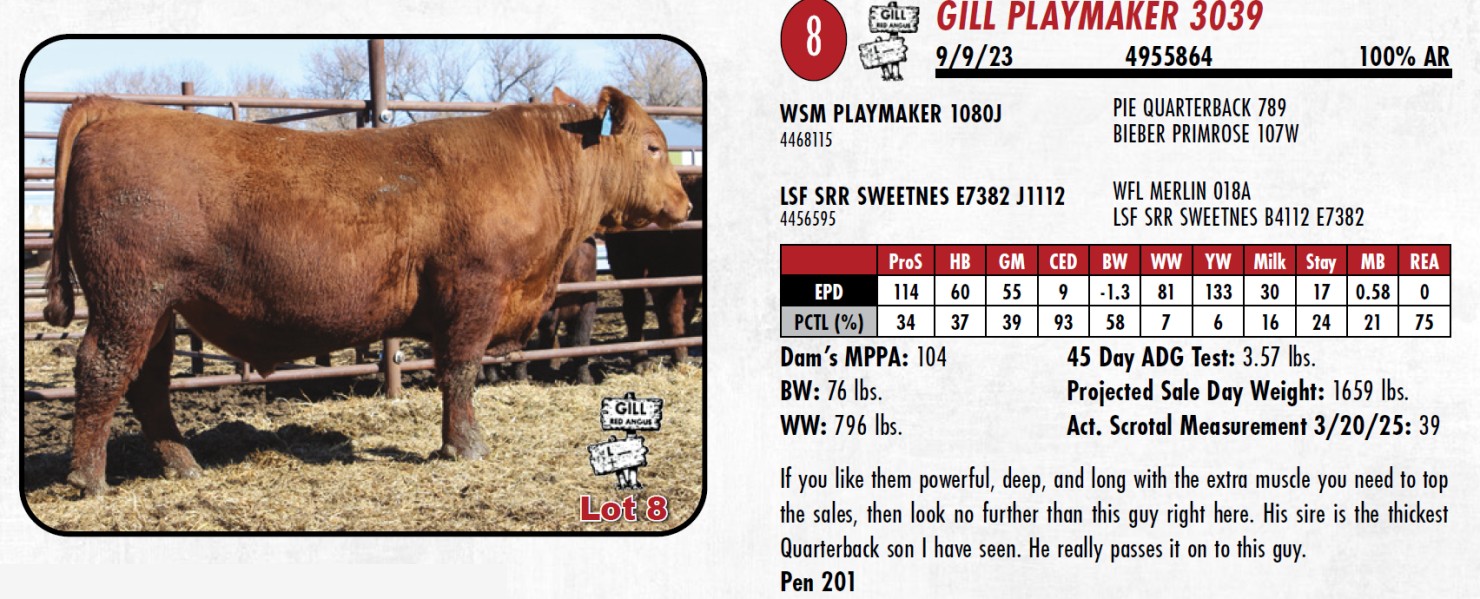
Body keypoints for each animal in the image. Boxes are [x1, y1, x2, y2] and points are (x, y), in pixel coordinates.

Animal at [42, 86, 690, 497]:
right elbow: (460, 373)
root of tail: (113, 108)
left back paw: (183, 465)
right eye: (655, 146)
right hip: (130, 299)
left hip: (157, 309)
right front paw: (465, 446)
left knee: (146, 383)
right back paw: (88, 479)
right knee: (101, 370)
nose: (685, 204)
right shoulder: (474, 293)